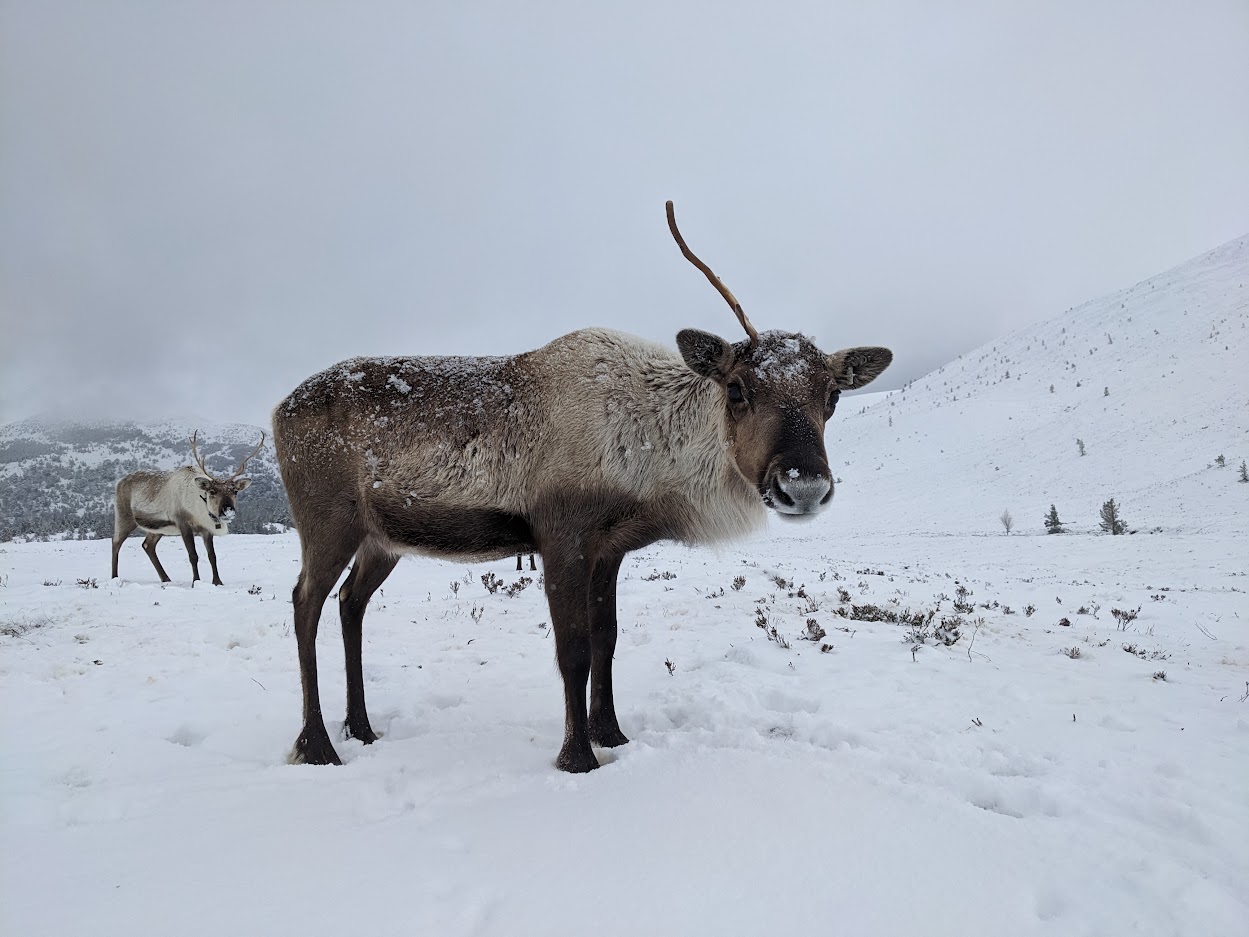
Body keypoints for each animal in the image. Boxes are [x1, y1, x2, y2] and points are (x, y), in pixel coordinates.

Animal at [111, 431, 265, 586]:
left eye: (235, 491)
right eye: (212, 491)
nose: (228, 510)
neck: (199, 511)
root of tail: (119, 482)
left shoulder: (206, 529)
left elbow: (212, 556)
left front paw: (217, 581)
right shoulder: (183, 523)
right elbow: (193, 555)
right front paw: (195, 581)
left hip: (157, 529)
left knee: (147, 545)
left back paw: (166, 578)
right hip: (124, 516)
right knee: (116, 543)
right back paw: (114, 577)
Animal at [273, 201, 893, 772]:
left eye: (831, 395)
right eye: (738, 388)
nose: (803, 485)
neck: (651, 447)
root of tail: (278, 410)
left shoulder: (609, 548)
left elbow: (606, 639)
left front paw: (612, 734)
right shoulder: (561, 536)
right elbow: (572, 649)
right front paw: (578, 756)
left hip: (382, 537)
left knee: (350, 604)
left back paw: (361, 727)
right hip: (328, 522)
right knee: (306, 603)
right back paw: (318, 744)